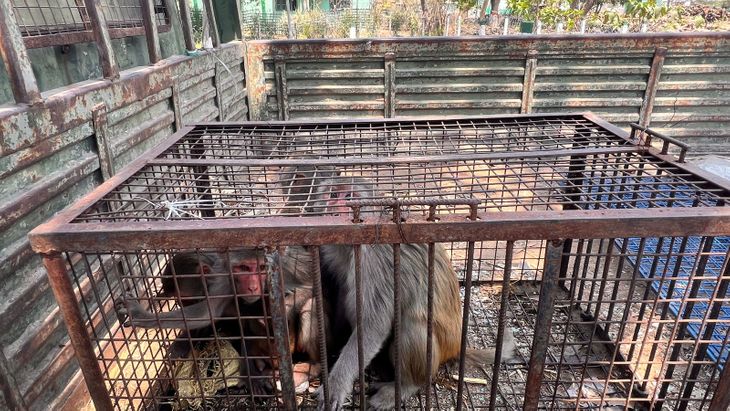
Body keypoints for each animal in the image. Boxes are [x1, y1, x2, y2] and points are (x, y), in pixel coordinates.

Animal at [273, 176, 515, 410]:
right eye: (332, 195)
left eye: (349, 197)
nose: (337, 208)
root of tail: (456, 347)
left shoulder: (376, 256)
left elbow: (373, 324)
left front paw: (335, 385)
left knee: (411, 326)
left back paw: (406, 385)